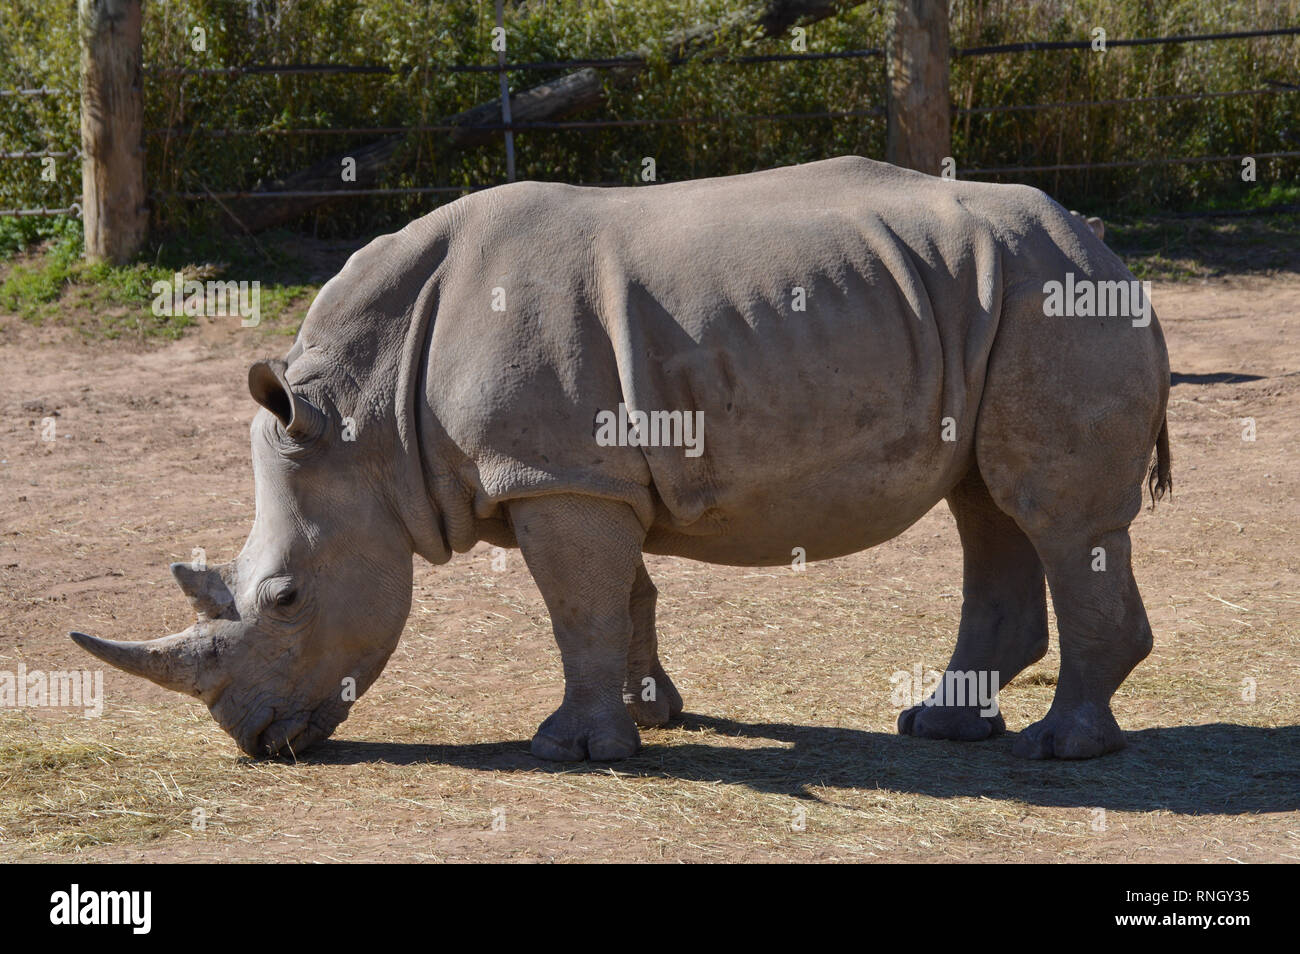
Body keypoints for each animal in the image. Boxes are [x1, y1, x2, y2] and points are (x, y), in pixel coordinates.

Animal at [72, 156, 1171, 762]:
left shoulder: (556, 475)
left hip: (1049, 299)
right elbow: (623, 593)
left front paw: (572, 749)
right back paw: (939, 728)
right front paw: (657, 717)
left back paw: (1063, 747)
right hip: (992, 300)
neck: (361, 417)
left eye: (288, 599)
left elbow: (579, 606)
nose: (256, 743)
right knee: (987, 504)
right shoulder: (580, 472)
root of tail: (1104, 248)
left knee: (1055, 518)